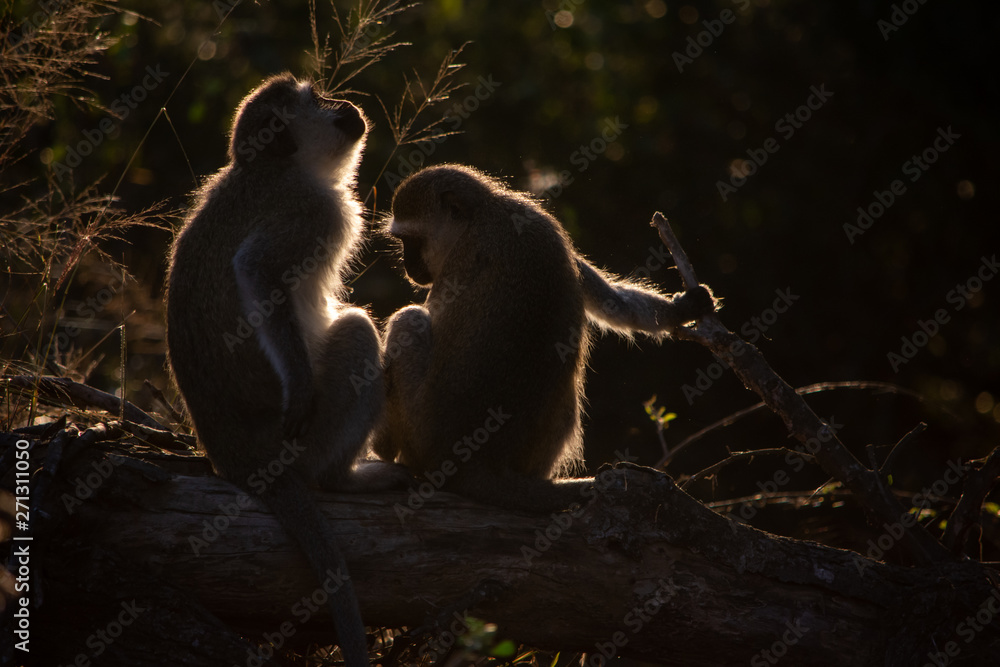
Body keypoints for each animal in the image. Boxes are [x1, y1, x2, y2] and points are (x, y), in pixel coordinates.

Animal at [165, 73, 408, 667]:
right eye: (317, 100)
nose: (344, 103)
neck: (277, 168)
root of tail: (239, 458)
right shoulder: (313, 212)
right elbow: (257, 270)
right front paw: (297, 386)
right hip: (301, 445)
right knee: (356, 334)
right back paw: (342, 477)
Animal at [372, 163, 717, 514]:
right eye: (403, 242)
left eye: (412, 240)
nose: (408, 266)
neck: (485, 212)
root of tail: (467, 463)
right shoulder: (544, 226)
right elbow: (614, 304)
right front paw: (684, 308)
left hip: (416, 435)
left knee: (408, 319)